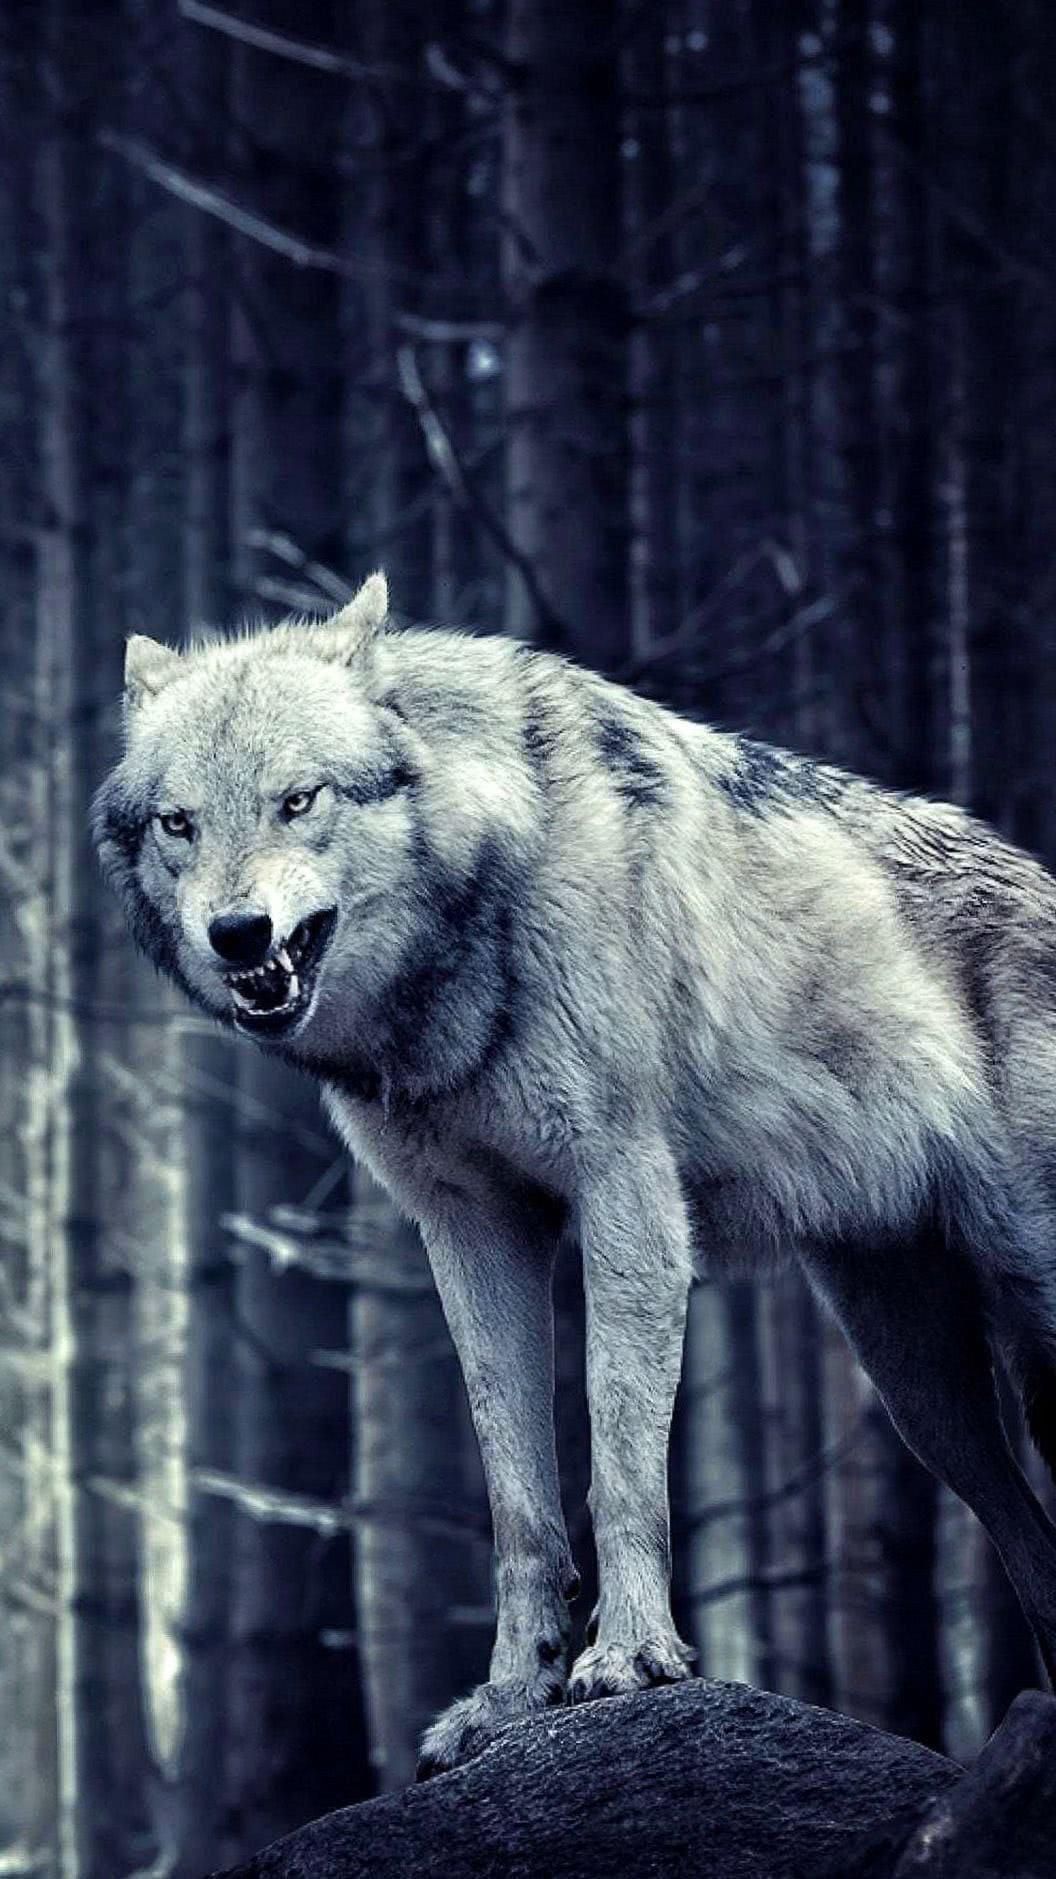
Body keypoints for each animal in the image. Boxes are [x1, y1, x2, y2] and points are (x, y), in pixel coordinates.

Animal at [94, 572, 1056, 1775]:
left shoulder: (627, 1193)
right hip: (922, 1391)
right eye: (179, 823)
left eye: (298, 800)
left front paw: (630, 1657)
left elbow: (621, 1458)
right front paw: (512, 1695)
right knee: (1032, 1543)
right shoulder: (470, 1233)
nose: (235, 932)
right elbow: (518, 1497)